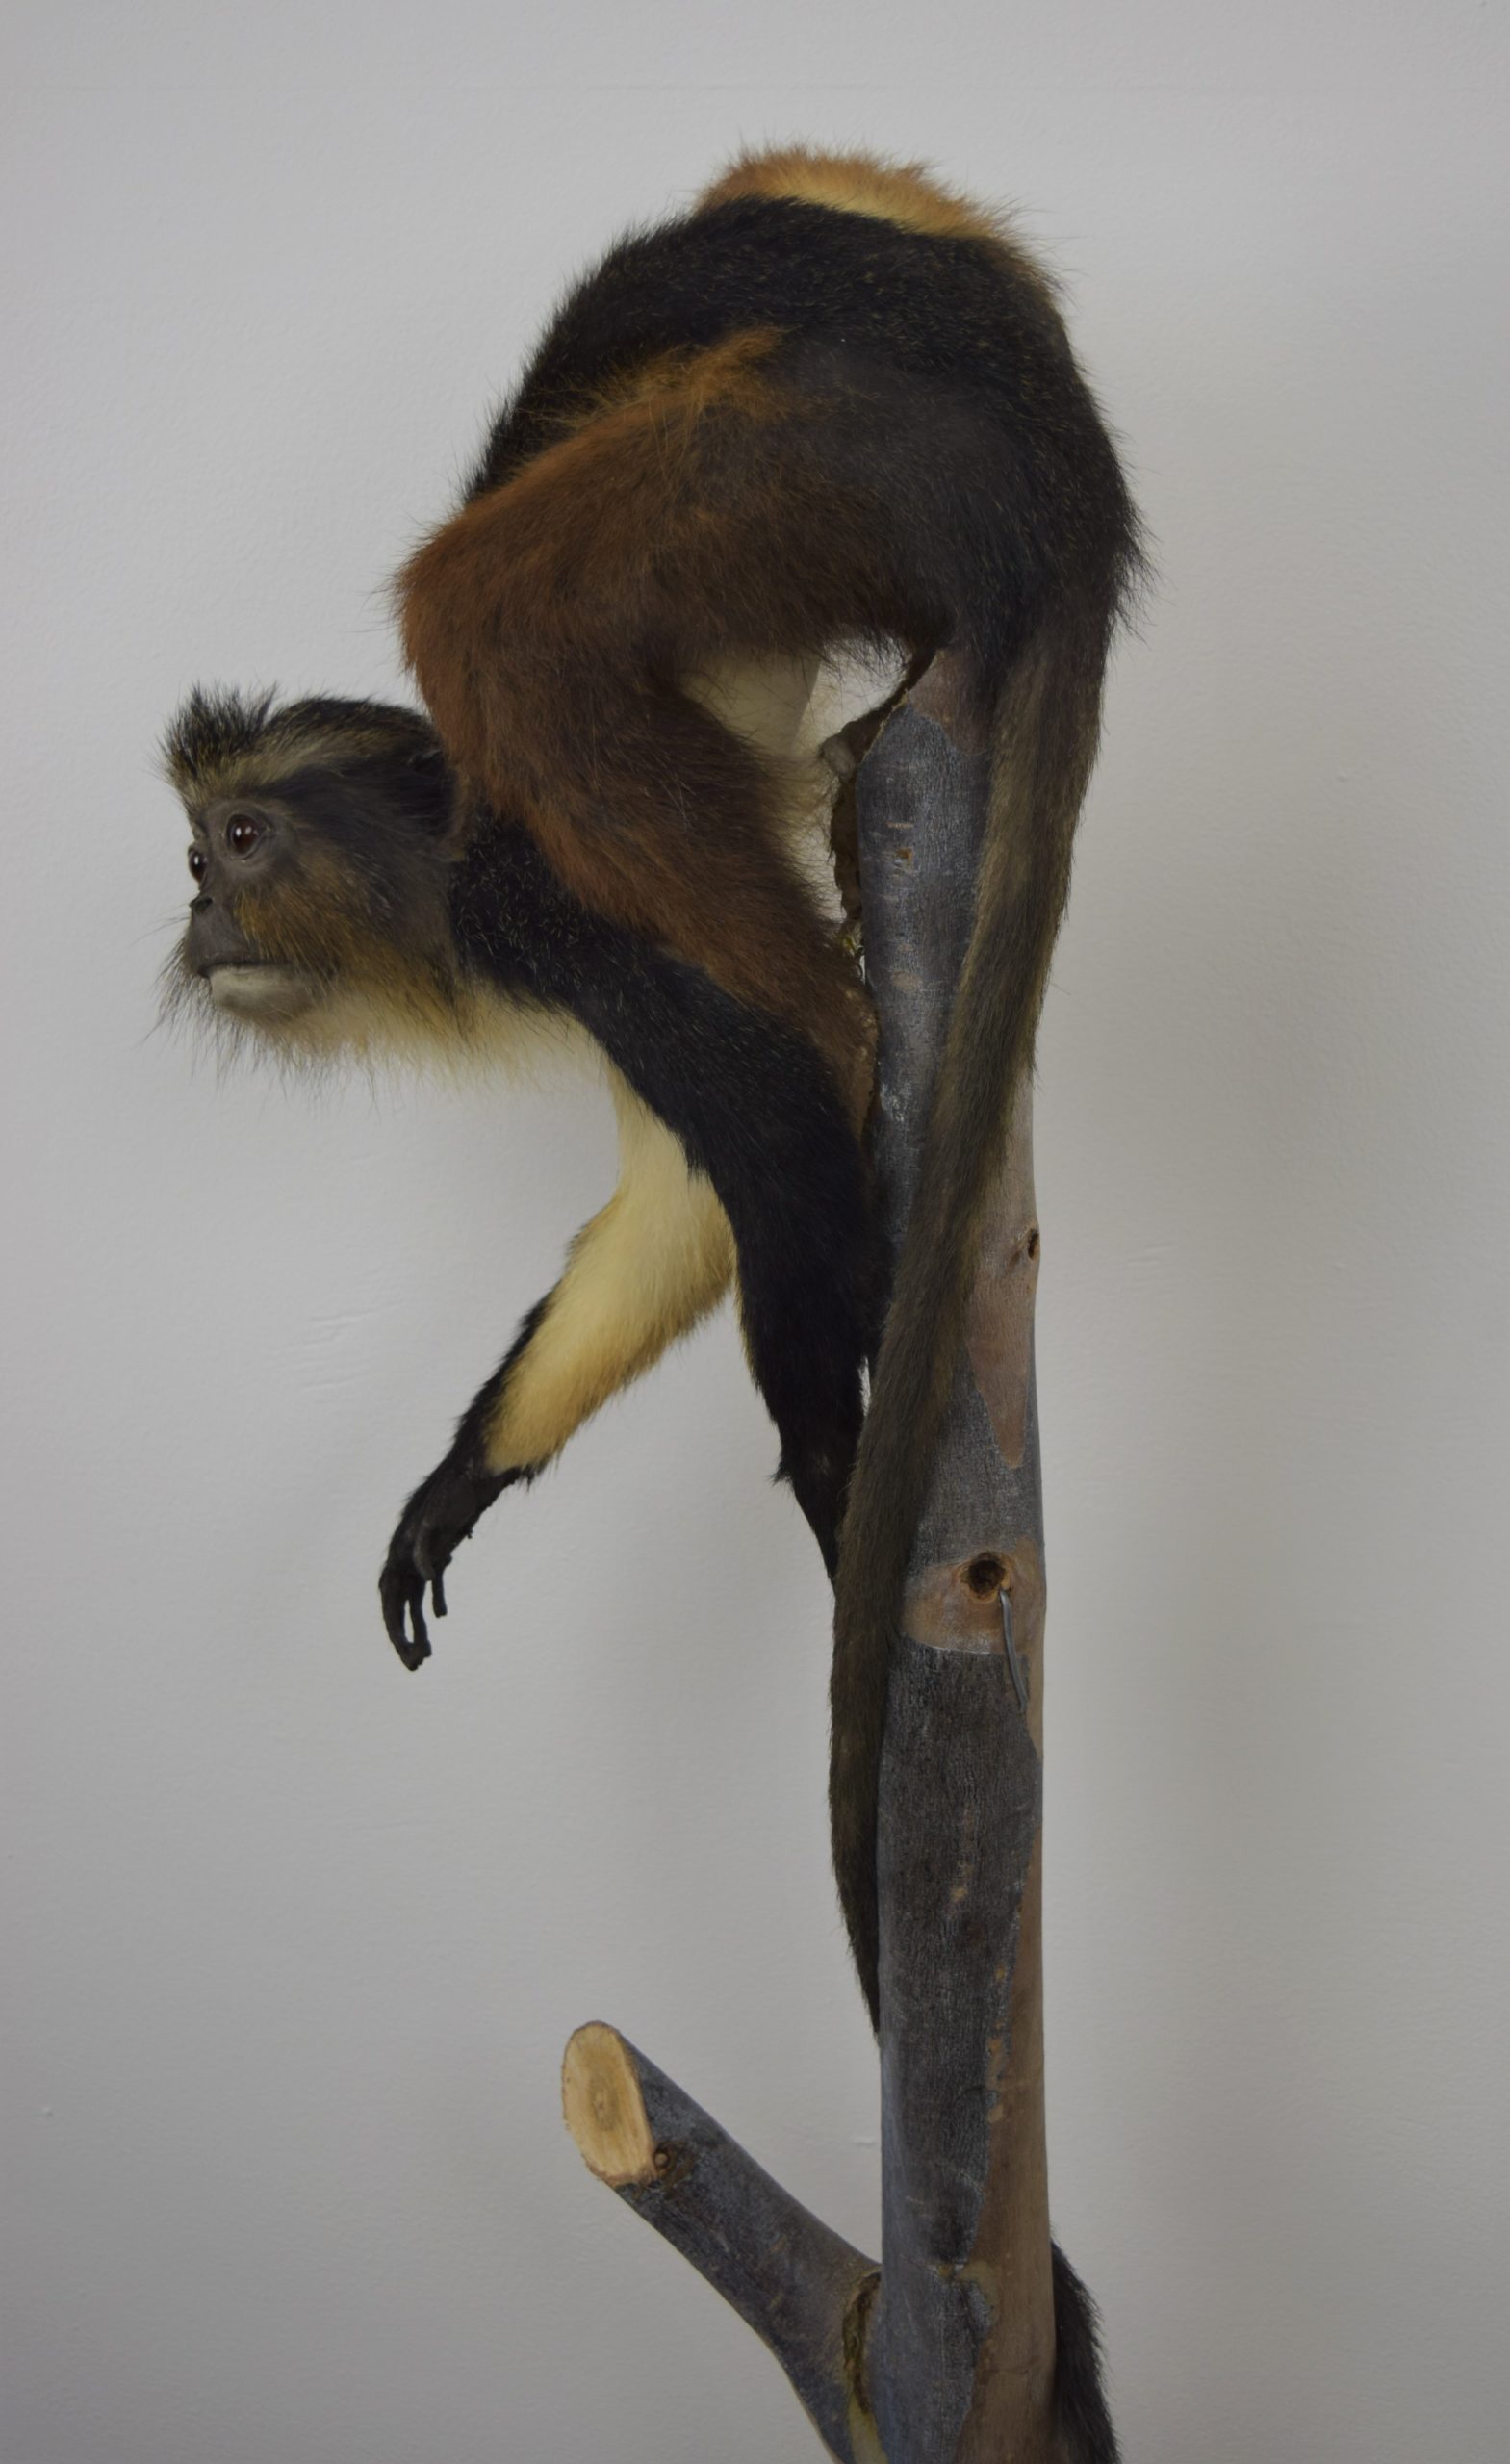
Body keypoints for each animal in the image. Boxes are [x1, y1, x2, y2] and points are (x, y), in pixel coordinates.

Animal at [163, 147, 1139, 2050]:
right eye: (192, 860)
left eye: (238, 843)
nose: (193, 920)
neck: (441, 873)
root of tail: (1069, 463)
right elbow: (682, 1205)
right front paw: (460, 1478)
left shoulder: (546, 919)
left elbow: (781, 1126)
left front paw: (832, 1468)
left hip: (807, 459)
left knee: (483, 601)